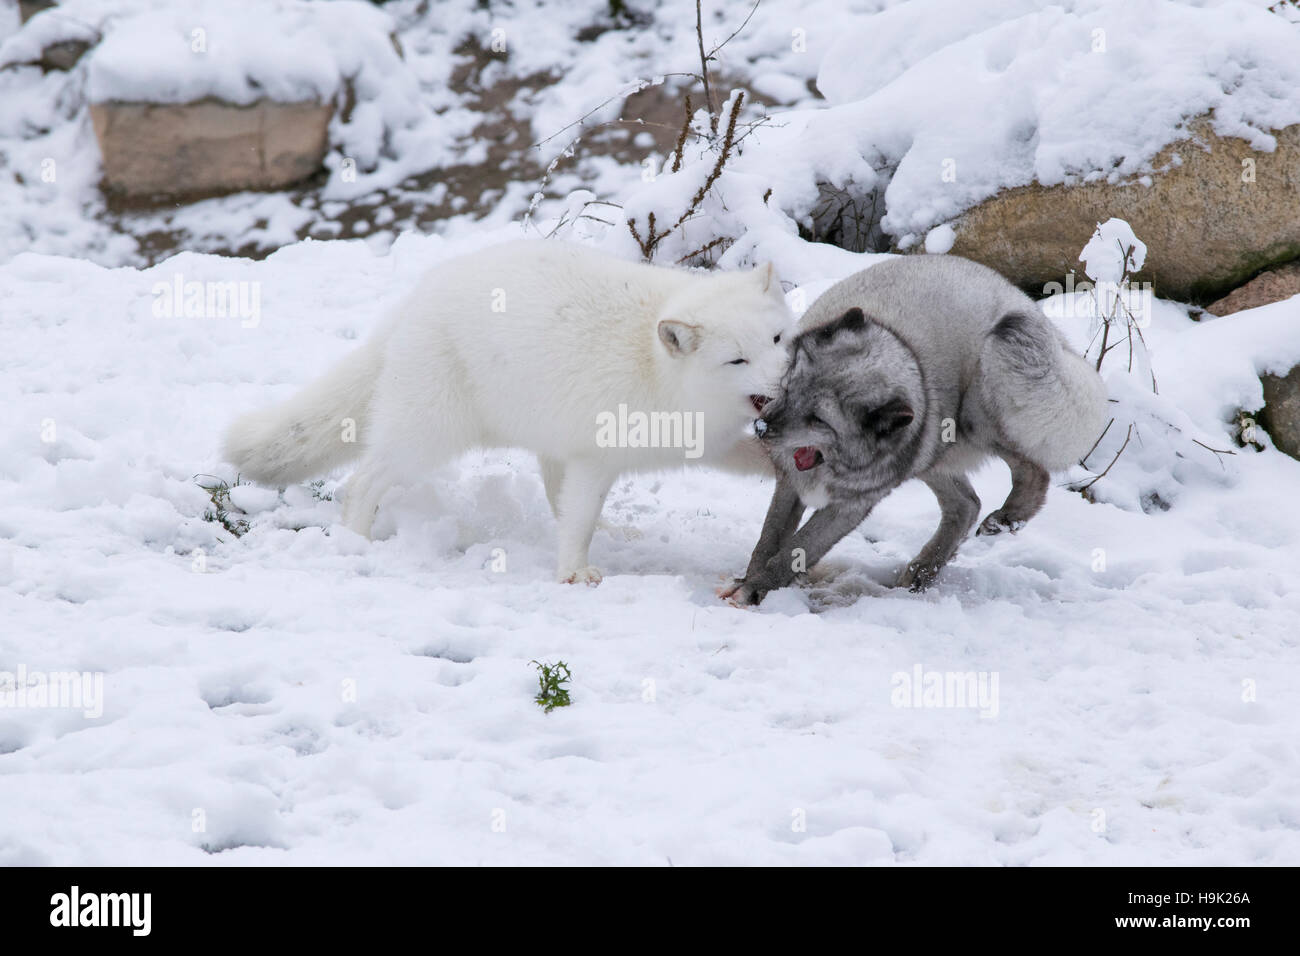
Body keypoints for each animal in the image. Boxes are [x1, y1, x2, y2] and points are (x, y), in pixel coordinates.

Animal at [223, 239, 794, 583]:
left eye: (776, 340)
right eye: (738, 359)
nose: (784, 385)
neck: (658, 369)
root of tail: (415, 300)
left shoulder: (703, 442)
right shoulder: (595, 458)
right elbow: (578, 520)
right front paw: (574, 574)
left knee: (553, 493)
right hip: (428, 433)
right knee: (363, 480)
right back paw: (356, 541)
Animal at [722, 254, 1108, 605]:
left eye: (818, 419)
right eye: (790, 386)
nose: (761, 426)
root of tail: (1024, 302)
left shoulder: (854, 504)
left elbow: (798, 549)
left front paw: (757, 589)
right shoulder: (789, 480)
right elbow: (769, 538)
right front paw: (748, 580)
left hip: (977, 412)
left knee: (1034, 472)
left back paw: (1007, 519)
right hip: (930, 450)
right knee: (967, 505)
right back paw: (922, 572)